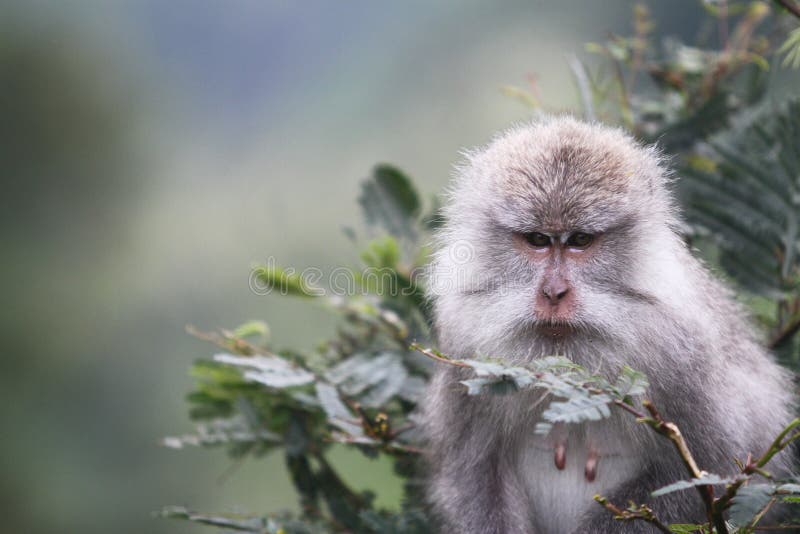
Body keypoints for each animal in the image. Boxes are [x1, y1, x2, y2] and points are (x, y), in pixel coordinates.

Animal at [422, 116, 796, 533]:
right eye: (537, 240)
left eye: (580, 240)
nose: (553, 293)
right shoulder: (466, 343)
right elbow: (473, 473)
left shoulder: (683, 353)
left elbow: (709, 467)